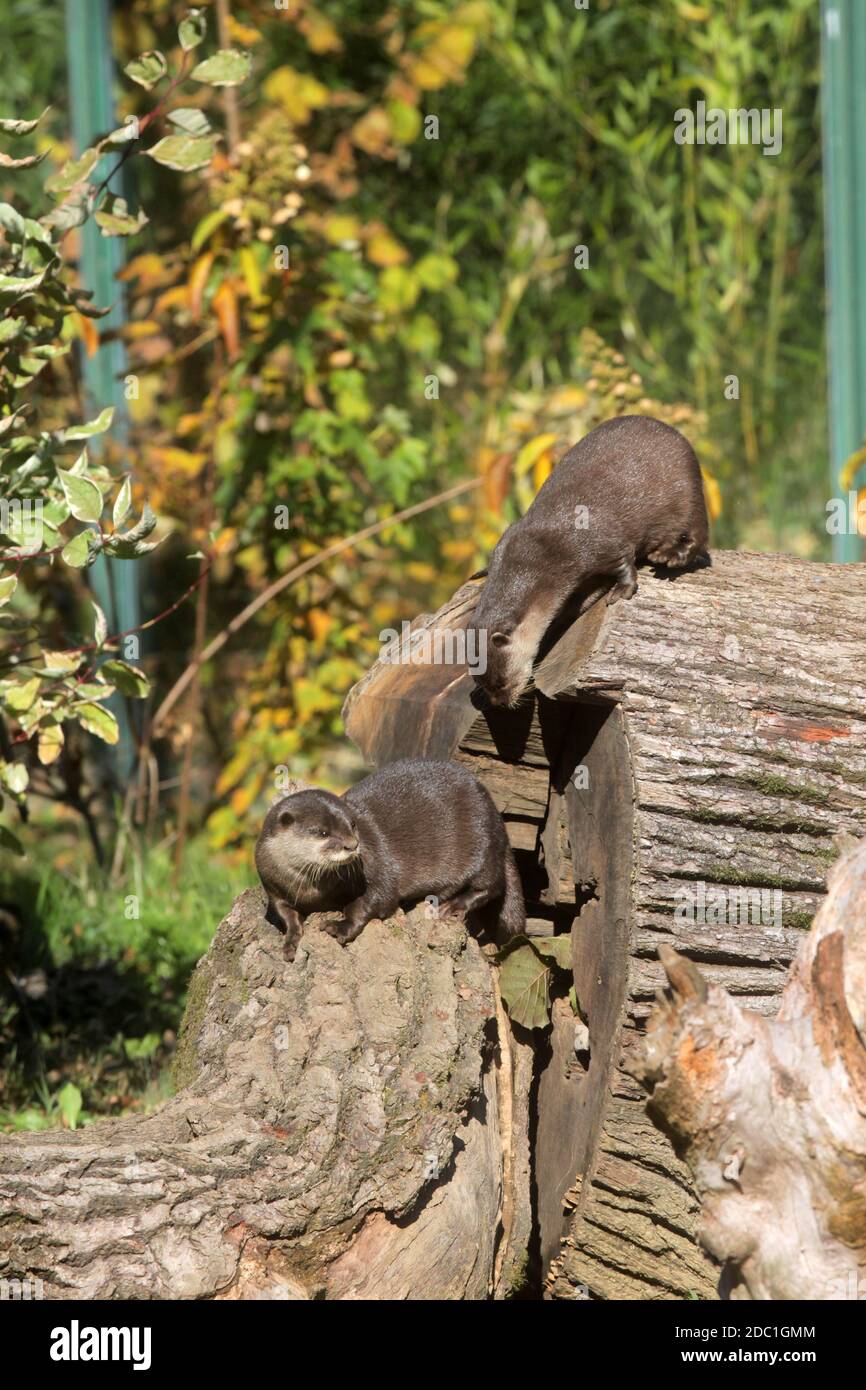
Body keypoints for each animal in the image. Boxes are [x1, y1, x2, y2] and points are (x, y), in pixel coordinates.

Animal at [255, 759, 525, 961]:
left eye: (352, 824)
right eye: (322, 832)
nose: (353, 845)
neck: (310, 890)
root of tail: (496, 815)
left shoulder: (378, 870)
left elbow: (373, 900)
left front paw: (341, 927)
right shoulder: (273, 887)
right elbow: (286, 915)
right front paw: (290, 942)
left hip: (482, 844)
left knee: (492, 885)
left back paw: (453, 905)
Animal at [468, 415, 710, 707]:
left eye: (500, 683)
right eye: (483, 684)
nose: (500, 703)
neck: (534, 555)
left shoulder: (596, 541)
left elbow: (623, 562)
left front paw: (622, 590)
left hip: (689, 493)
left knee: (699, 536)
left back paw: (669, 555)